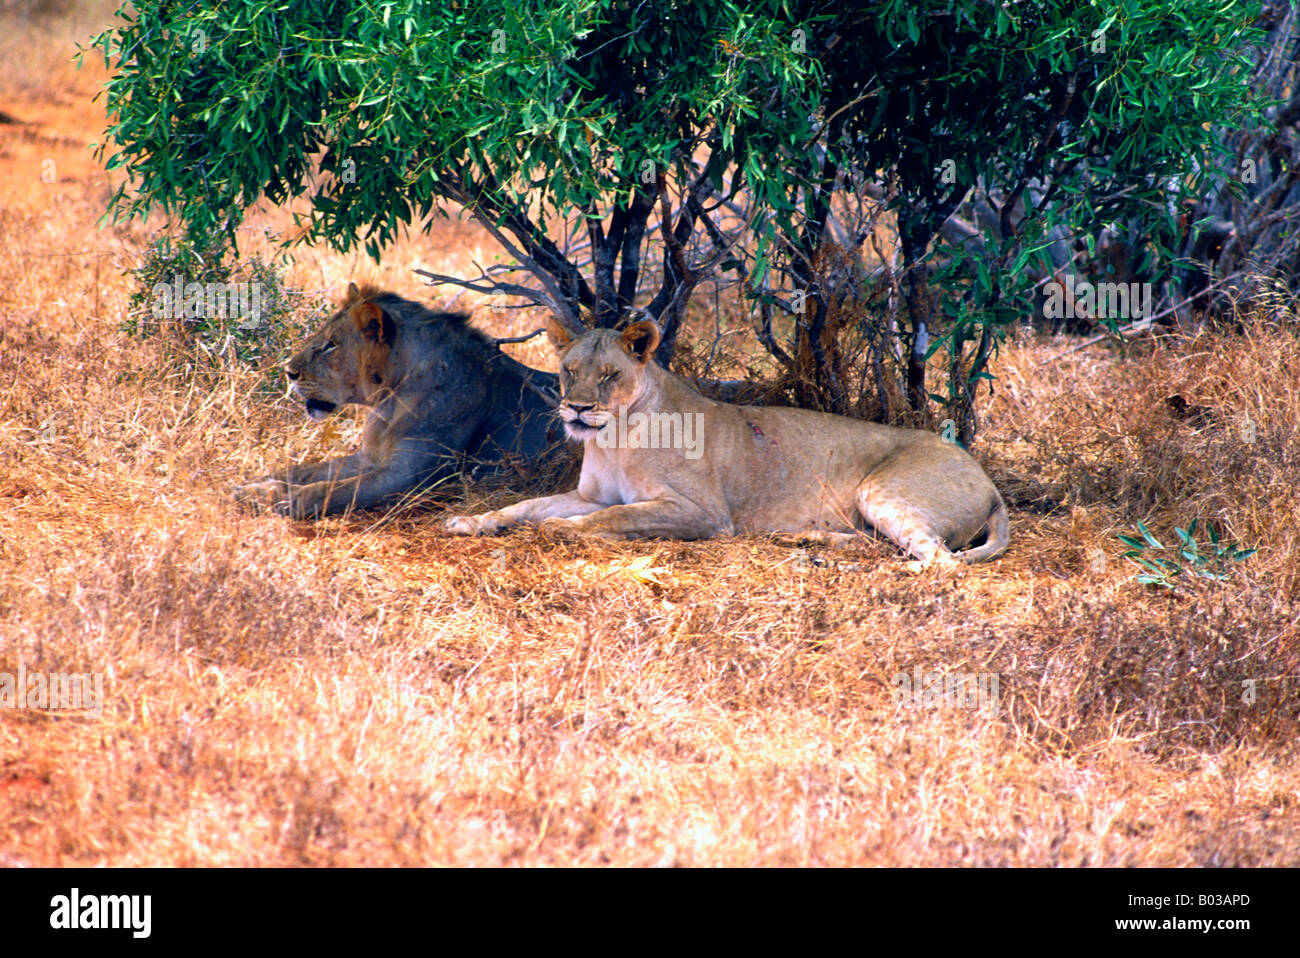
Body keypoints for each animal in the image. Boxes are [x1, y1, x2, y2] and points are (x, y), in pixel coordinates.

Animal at [235, 283, 564, 518]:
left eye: (330, 345)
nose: (289, 372)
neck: (389, 401)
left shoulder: (409, 477)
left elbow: (330, 490)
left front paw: (282, 501)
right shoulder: (368, 458)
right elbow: (302, 472)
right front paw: (254, 487)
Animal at [444, 319, 1009, 566]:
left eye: (609, 375)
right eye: (569, 370)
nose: (578, 409)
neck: (616, 438)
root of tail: (988, 481)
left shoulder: (703, 512)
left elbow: (615, 517)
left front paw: (565, 532)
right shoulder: (588, 494)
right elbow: (525, 506)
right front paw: (471, 522)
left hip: (885, 492)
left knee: (938, 560)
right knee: (883, 542)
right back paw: (809, 541)